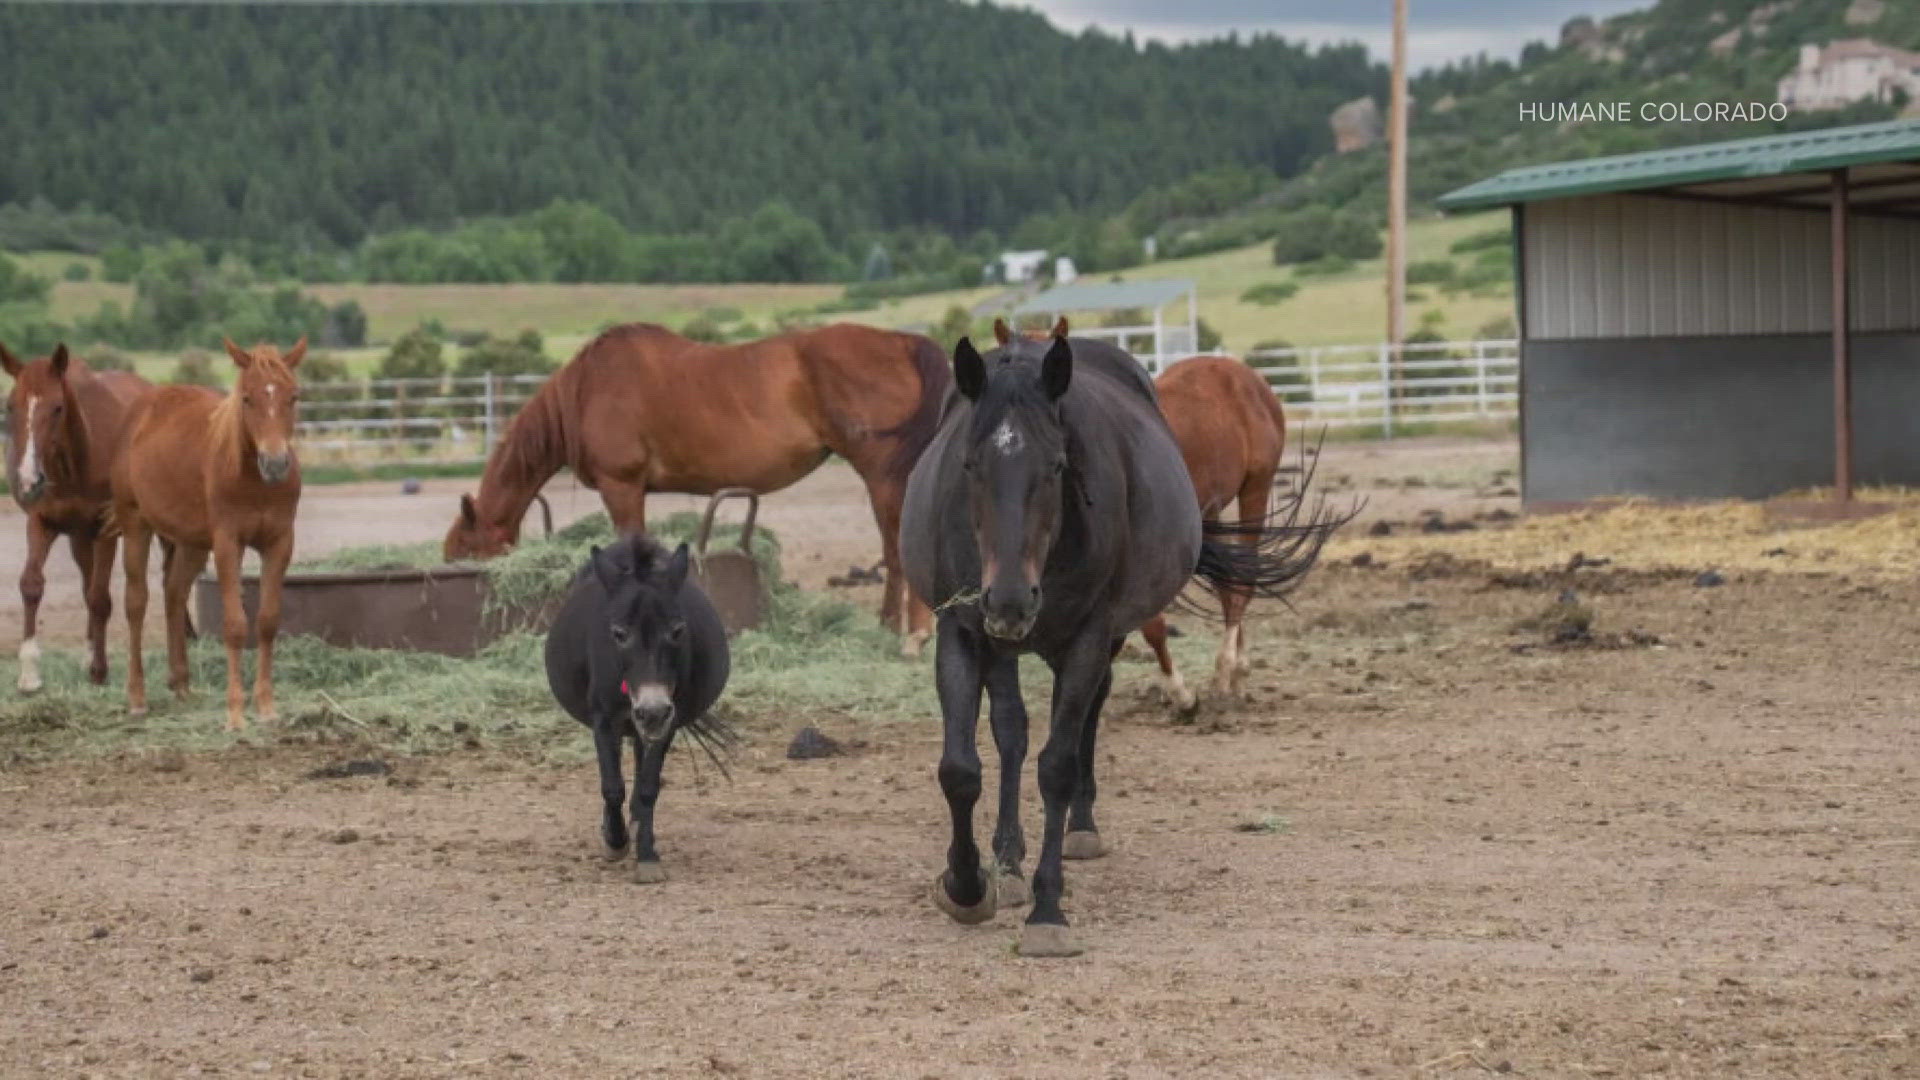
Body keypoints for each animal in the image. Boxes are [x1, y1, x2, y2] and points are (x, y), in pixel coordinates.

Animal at [2, 342, 153, 690]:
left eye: (58, 408)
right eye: (10, 406)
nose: (28, 479)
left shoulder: (106, 530)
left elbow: (99, 598)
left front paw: (99, 671)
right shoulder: (42, 522)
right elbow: (32, 585)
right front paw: (29, 673)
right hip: (80, 538)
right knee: (86, 582)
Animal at [112, 337, 305, 730]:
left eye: (293, 396)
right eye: (246, 398)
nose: (275, 464)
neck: (251, 479)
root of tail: (141, 410)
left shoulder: (279, 543)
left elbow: (267, 621)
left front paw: (266, 707)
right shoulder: (228, 544)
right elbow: (235, 625)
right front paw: (235, 714)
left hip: (191, 543)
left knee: (174, 594)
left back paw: (181, 685)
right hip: (136, 524)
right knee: (136, 603)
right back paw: (137, 698)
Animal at [442, 322, 951, 653]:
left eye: (465, 553)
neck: (585, 389)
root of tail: (902, 341)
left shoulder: (621, 487)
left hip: (883, 476)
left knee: (898, 548)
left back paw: (913, 634)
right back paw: (888, 628)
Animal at [545, 534, 731, 883]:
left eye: (678, 631)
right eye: (618, 634)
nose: (652, 709)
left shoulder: (667, 722)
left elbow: (647, 787)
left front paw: (646, 855)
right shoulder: (604, 720)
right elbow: (612, 786)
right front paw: (615, 842)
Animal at [901, 327, 1348, 957]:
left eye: (1057, 465)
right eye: (969, 464)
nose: (1011, 599)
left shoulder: (1089, 637)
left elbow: (1058, 765)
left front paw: (1048, 909)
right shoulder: (963, 630)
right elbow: (962, 768)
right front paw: (967, 884)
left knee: (1089, 714)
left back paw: (1080, 828)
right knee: (1011, 733)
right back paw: (1007, 861)